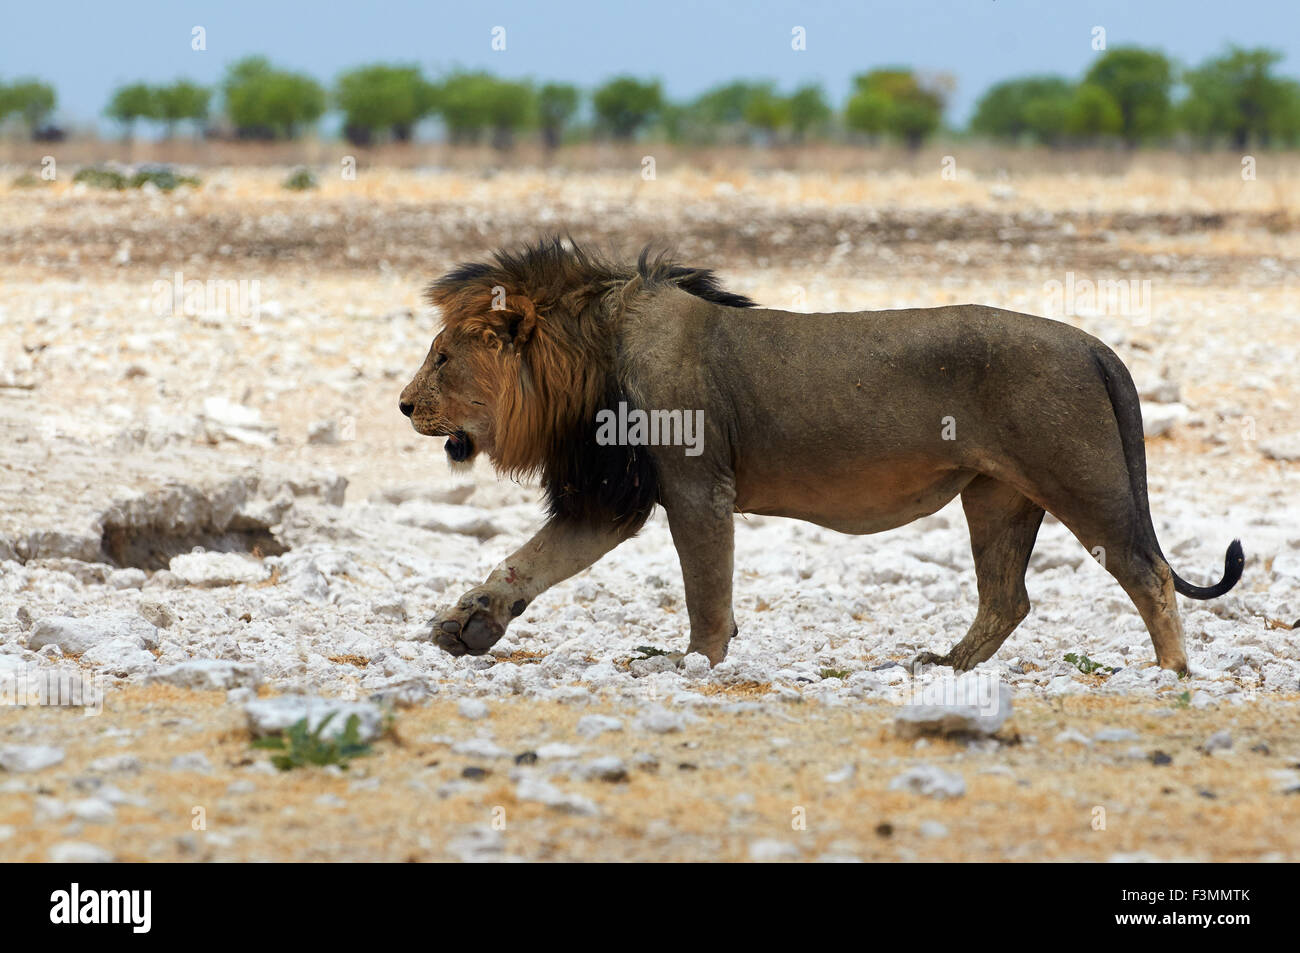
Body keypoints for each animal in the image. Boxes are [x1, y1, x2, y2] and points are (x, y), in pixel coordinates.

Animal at [399, 238, 1243, 673]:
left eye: (441, 357)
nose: (405, 404)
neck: (590, 355)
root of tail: (1095, 344)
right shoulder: (612, 499)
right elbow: (527, 562)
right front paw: (466, 627)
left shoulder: (696, 488)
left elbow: (707, 589)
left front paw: (695, 662)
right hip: (996, 496)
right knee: (1009, 598)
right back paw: (947, 664)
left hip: (1080, 479)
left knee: (1148, 571)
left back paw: (1172, 675)